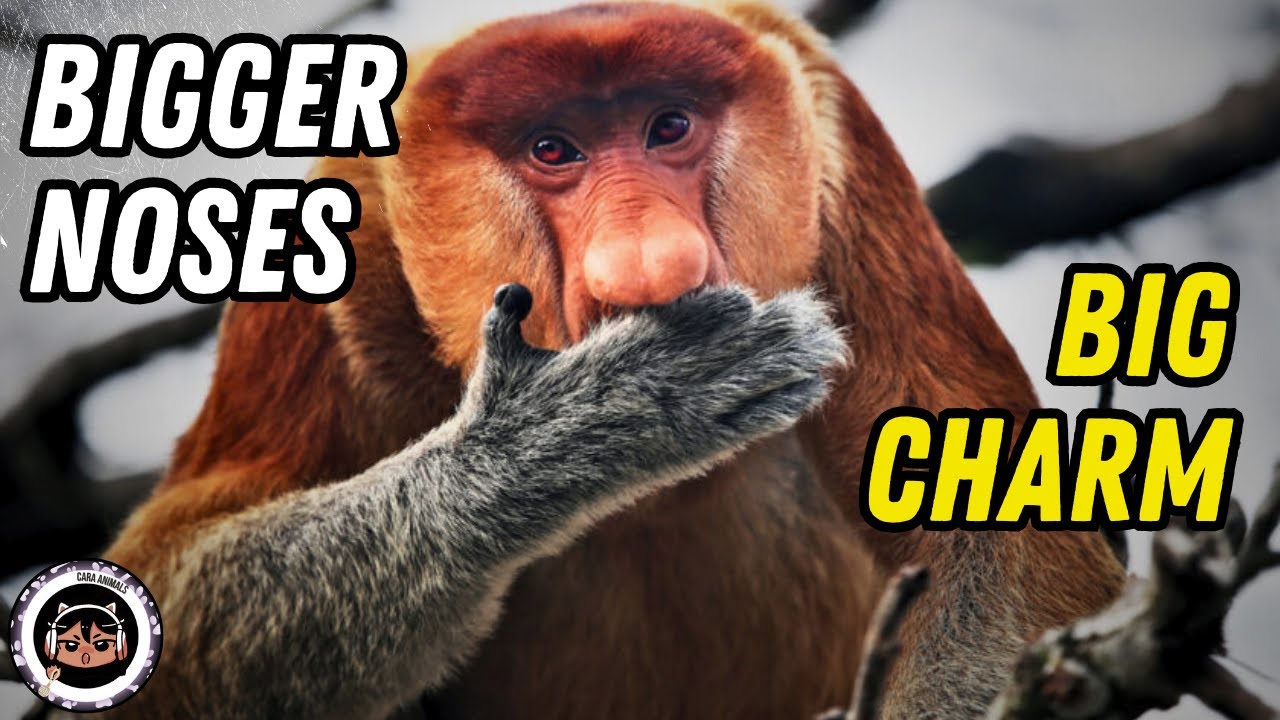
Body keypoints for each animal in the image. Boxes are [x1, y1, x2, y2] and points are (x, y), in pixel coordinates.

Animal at [97, 2, 1128, 719]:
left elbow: (996, 535)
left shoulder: (834, 133)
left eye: (668, 126)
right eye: (553, 148)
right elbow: (179, 581)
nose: (653, 264)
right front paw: (599, 420)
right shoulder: (338, 222)